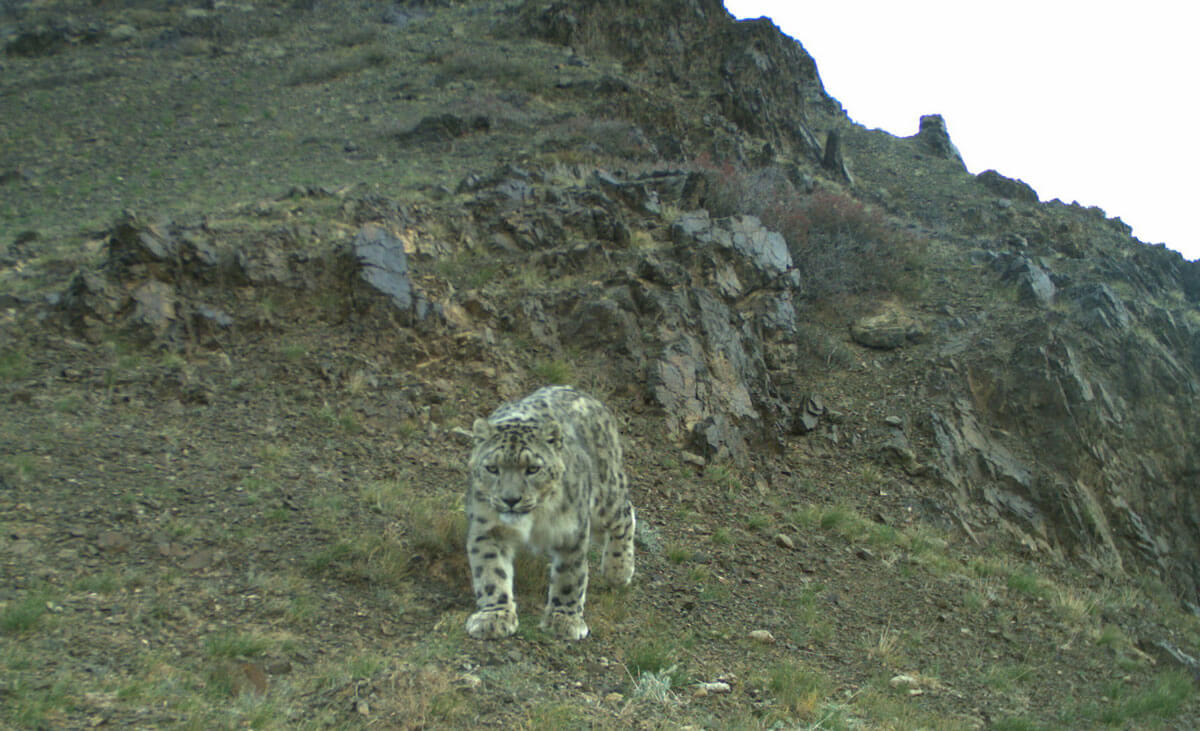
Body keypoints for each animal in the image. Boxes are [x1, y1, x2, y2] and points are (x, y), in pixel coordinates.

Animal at [464, 385, 636, 641]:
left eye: (533, 468)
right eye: (492, 468)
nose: (510, 499)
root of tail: (588, 396)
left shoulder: (571, 532)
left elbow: (570, 576)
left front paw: (564, 620)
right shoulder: (487, 529)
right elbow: (491, 571)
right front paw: (494, 616)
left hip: (605, 497)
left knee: (625, 513)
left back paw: (618, 569)